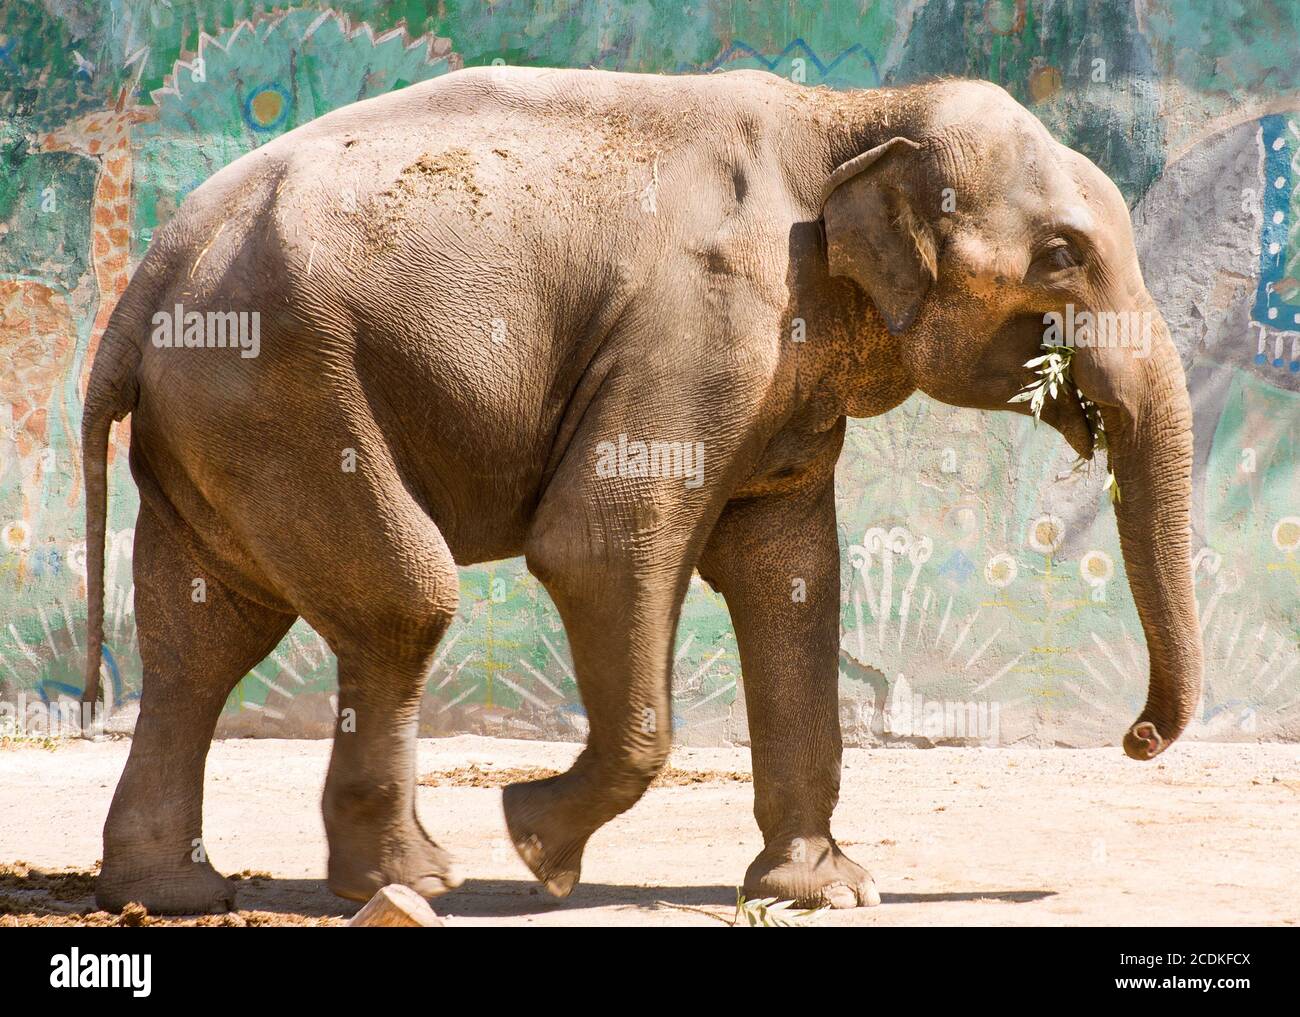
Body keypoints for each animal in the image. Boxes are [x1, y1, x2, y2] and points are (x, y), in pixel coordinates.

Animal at [80, 66, 1202, 914]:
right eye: (1061, 254)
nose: (1137, 737)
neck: (845, 115)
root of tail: (152, 272)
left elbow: (791, 575)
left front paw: (825, 891)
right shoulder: (701, 322)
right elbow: (600, 539)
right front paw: (534, 845)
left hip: (219, 417)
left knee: (203, 636)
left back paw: (175, 893)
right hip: (286, 387)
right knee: (403, 604)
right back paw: (419, 881)